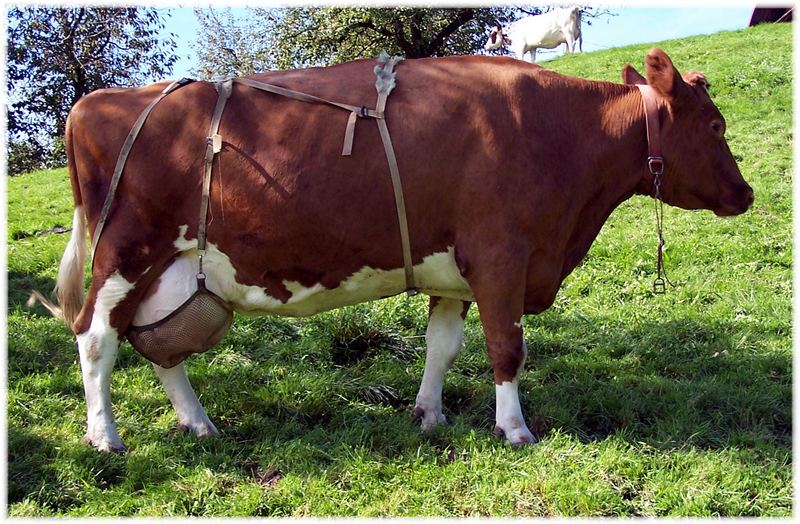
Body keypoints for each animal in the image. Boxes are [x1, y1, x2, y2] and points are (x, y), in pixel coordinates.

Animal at [36, 48, 753, 452]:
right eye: (716, 125)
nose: (746, 194)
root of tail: (95, 101)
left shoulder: (453, 271)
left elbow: (443, 348)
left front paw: (430, 416)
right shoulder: (502, 256)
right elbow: (507, 348)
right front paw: (514, 429)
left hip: (173, 268)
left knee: (159, 347)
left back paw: (200, 425)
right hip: (125, 253)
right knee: (96, 338)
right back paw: (105, 438)